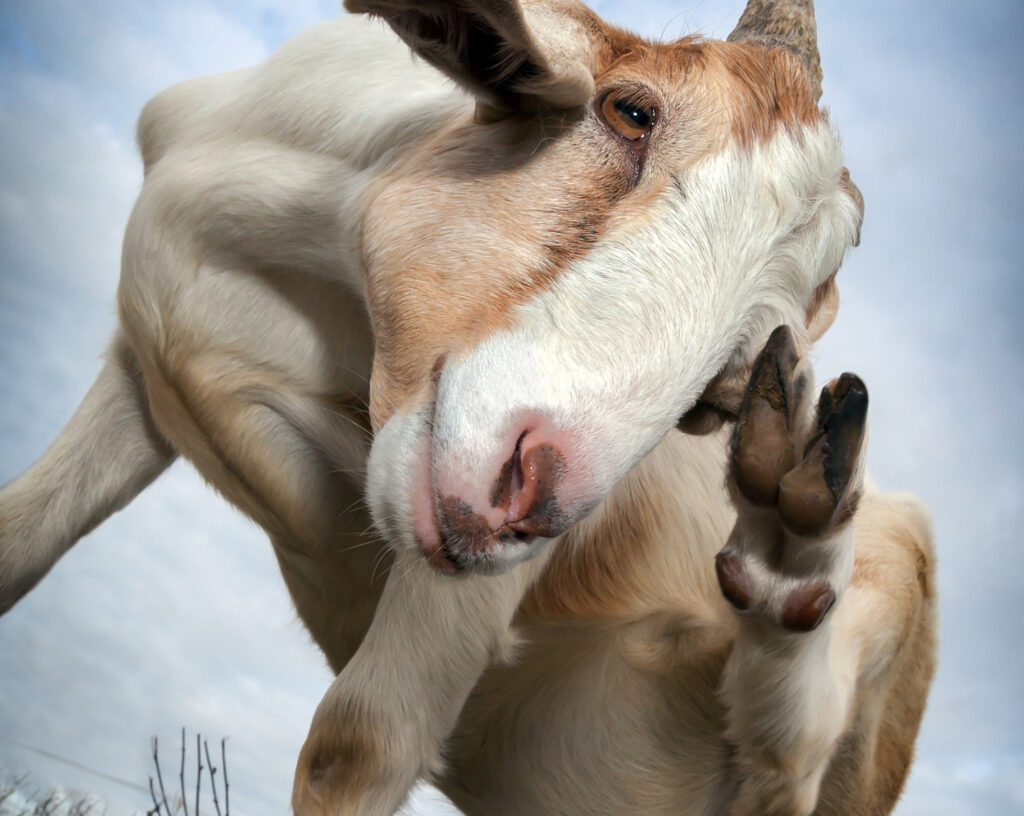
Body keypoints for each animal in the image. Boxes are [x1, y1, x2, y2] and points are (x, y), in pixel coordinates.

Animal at [0, 1, 936, 814]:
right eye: (630, 110)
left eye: (719, 395)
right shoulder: (139, 375)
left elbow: (358, 742)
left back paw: (793, 536)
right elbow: (18, 543)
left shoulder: (464, 576)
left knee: (790, 761)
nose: (524, 495)